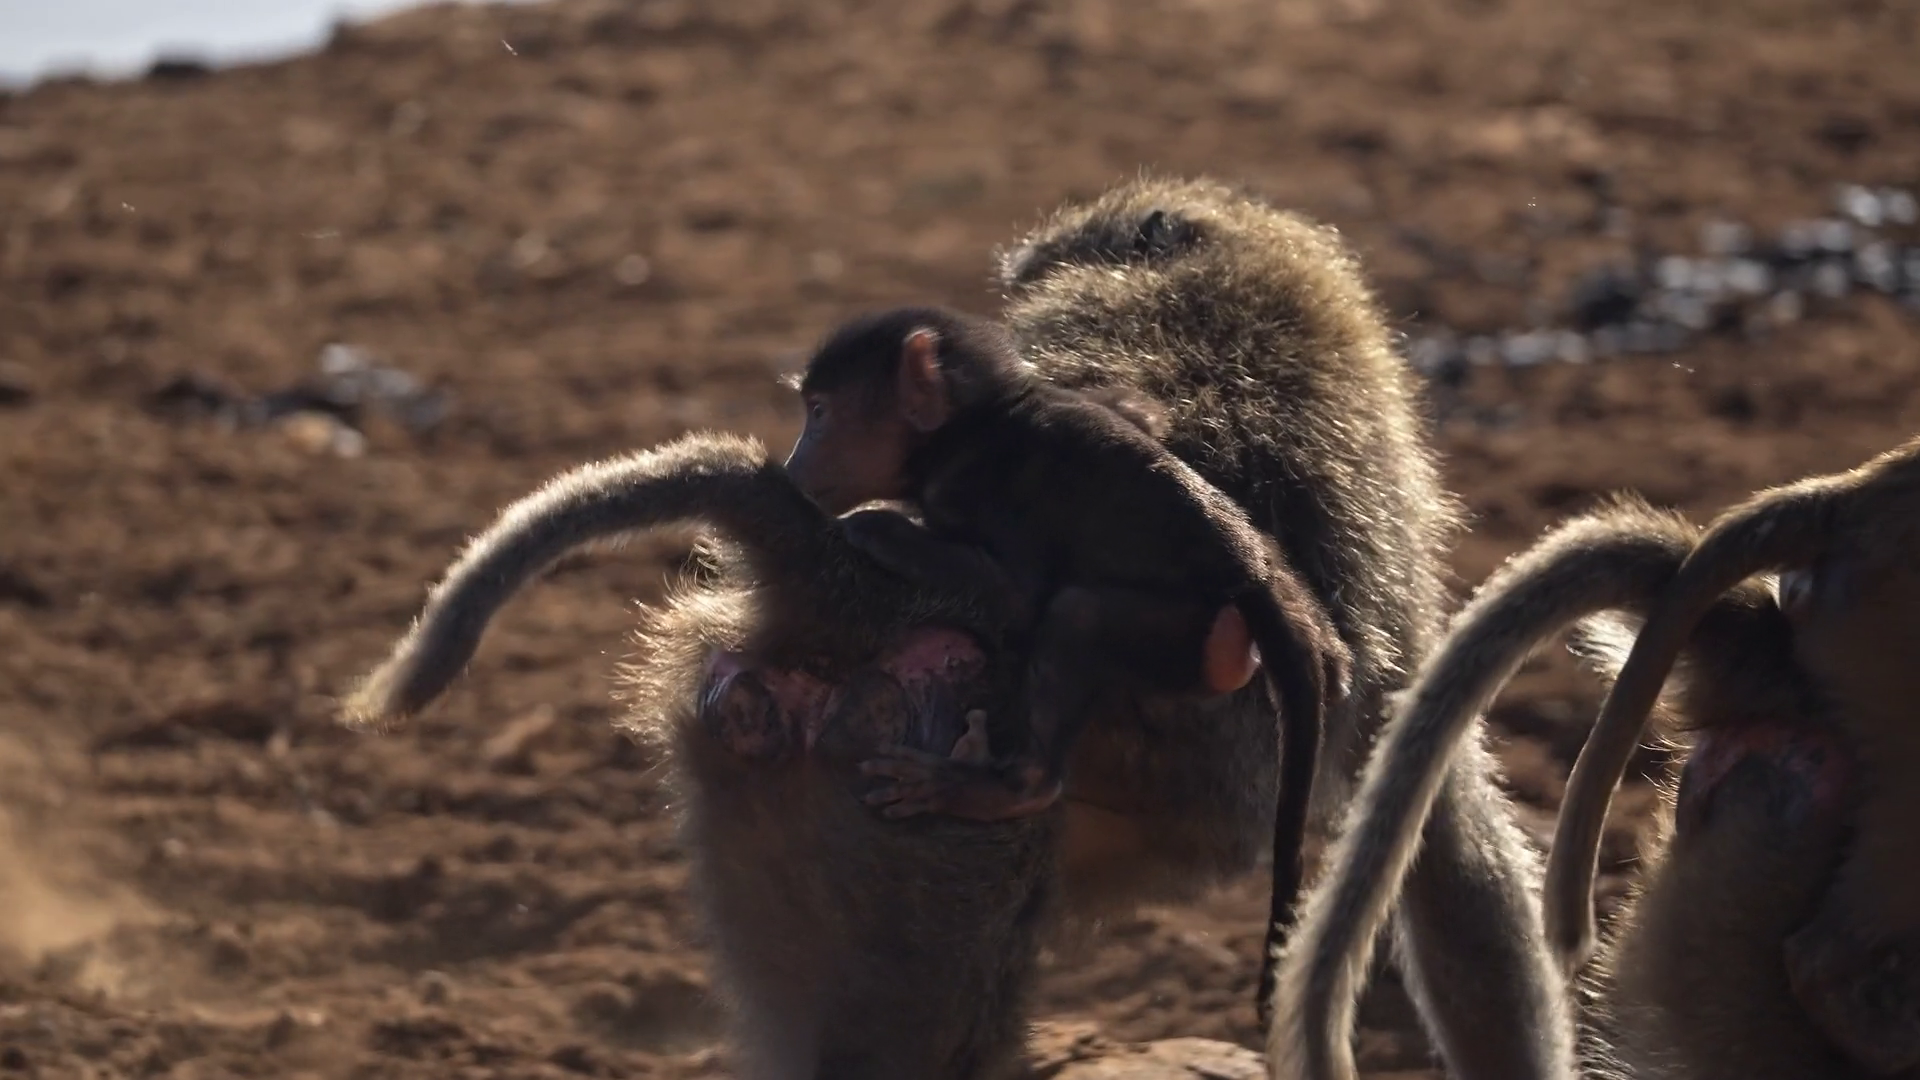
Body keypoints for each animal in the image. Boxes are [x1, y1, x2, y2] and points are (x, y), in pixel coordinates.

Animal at [779, 304, 1352, 969]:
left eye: (821, 413)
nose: (793, 465)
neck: (974, 424)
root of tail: (1246, 578)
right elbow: (1137, 414)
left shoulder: (979, 484)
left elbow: (1018, 596)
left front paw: (875, 526)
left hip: (1183, 640)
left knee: (1077, 615)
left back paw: (1014, 788)